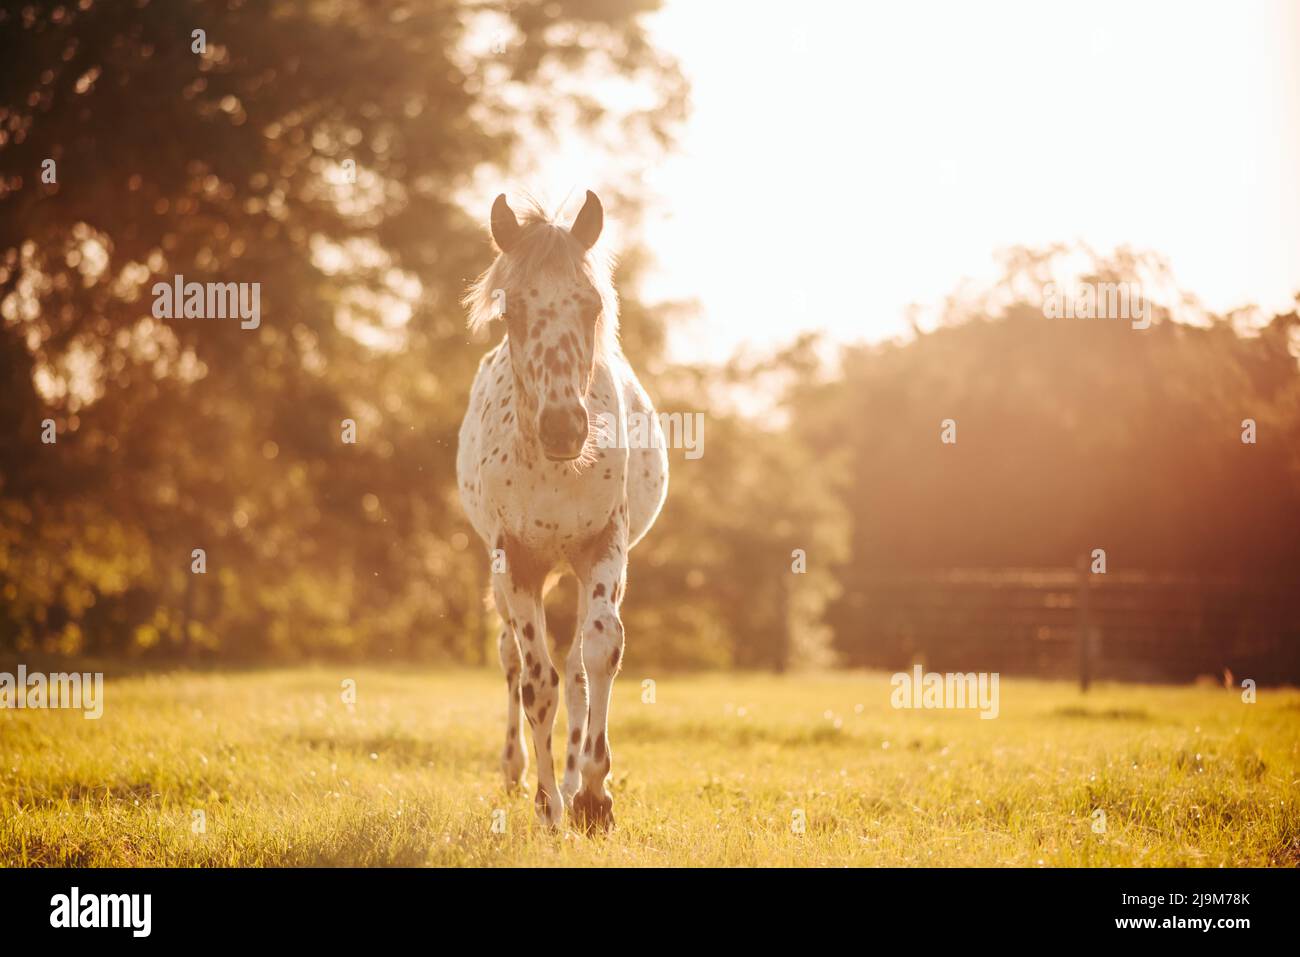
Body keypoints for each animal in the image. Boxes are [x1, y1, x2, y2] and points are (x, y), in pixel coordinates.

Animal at [456, 191, 668, 830]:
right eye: (513, 312)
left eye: (591, 303)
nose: (562, 428)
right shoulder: (518, 561)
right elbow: (536, 683)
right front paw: (548, 808)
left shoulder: (603, 546)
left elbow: (597, 652)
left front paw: (594, 798)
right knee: (512, 660)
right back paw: (518, 774)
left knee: (576, 671)